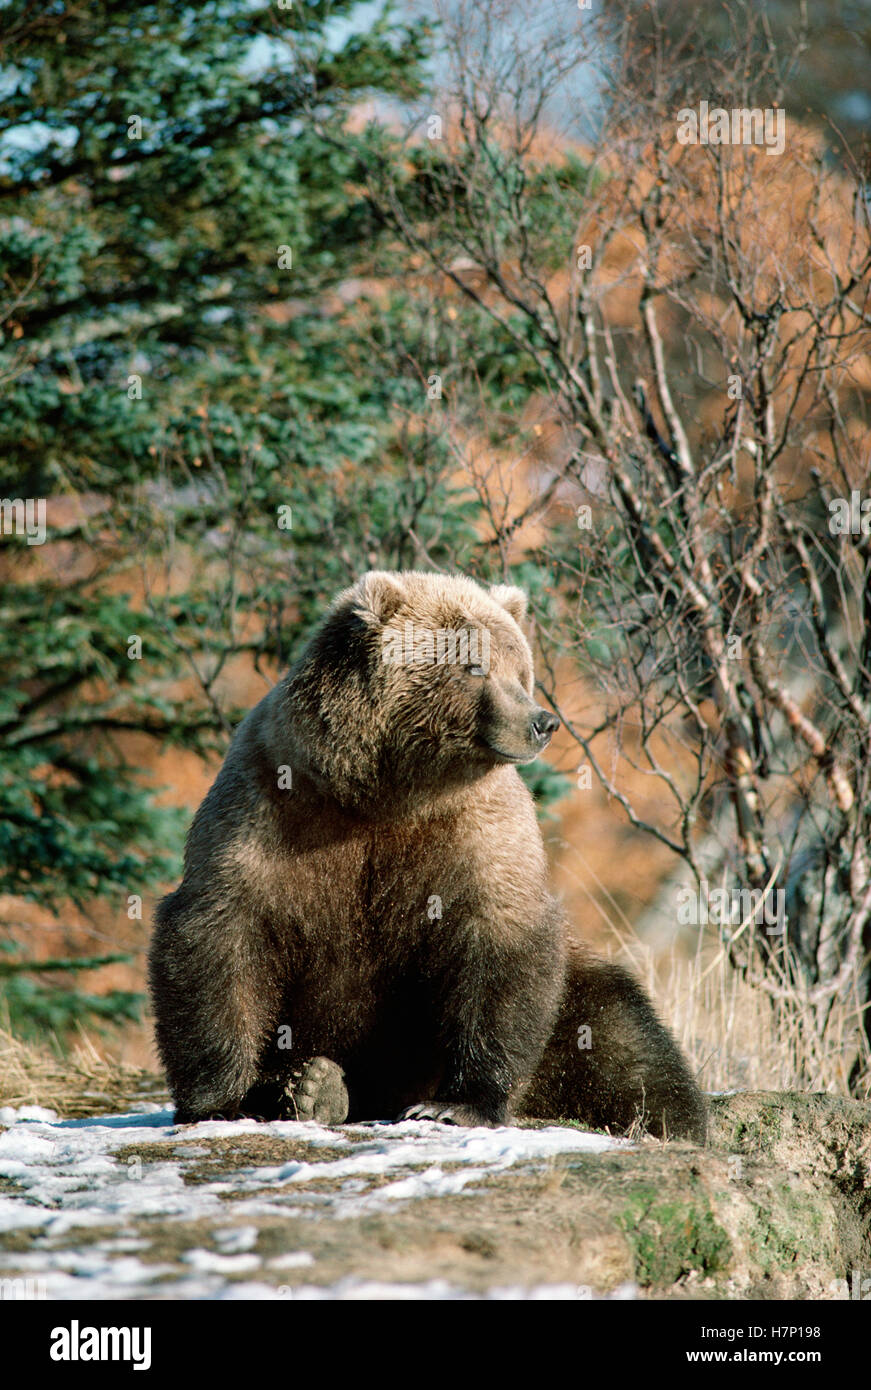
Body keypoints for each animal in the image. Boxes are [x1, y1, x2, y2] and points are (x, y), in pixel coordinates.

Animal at [148, 570, 707, 1143]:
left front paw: (457, 1104)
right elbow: (221, 931)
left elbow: (498, 942)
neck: (387, 793)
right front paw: (223, 1099)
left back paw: (670, 1116)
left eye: (520, 668)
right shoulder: (273, 805)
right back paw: (310, 1087)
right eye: (475, 665)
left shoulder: (475, 830)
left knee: (617, 1033)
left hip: (575, 994)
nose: (543, 722)